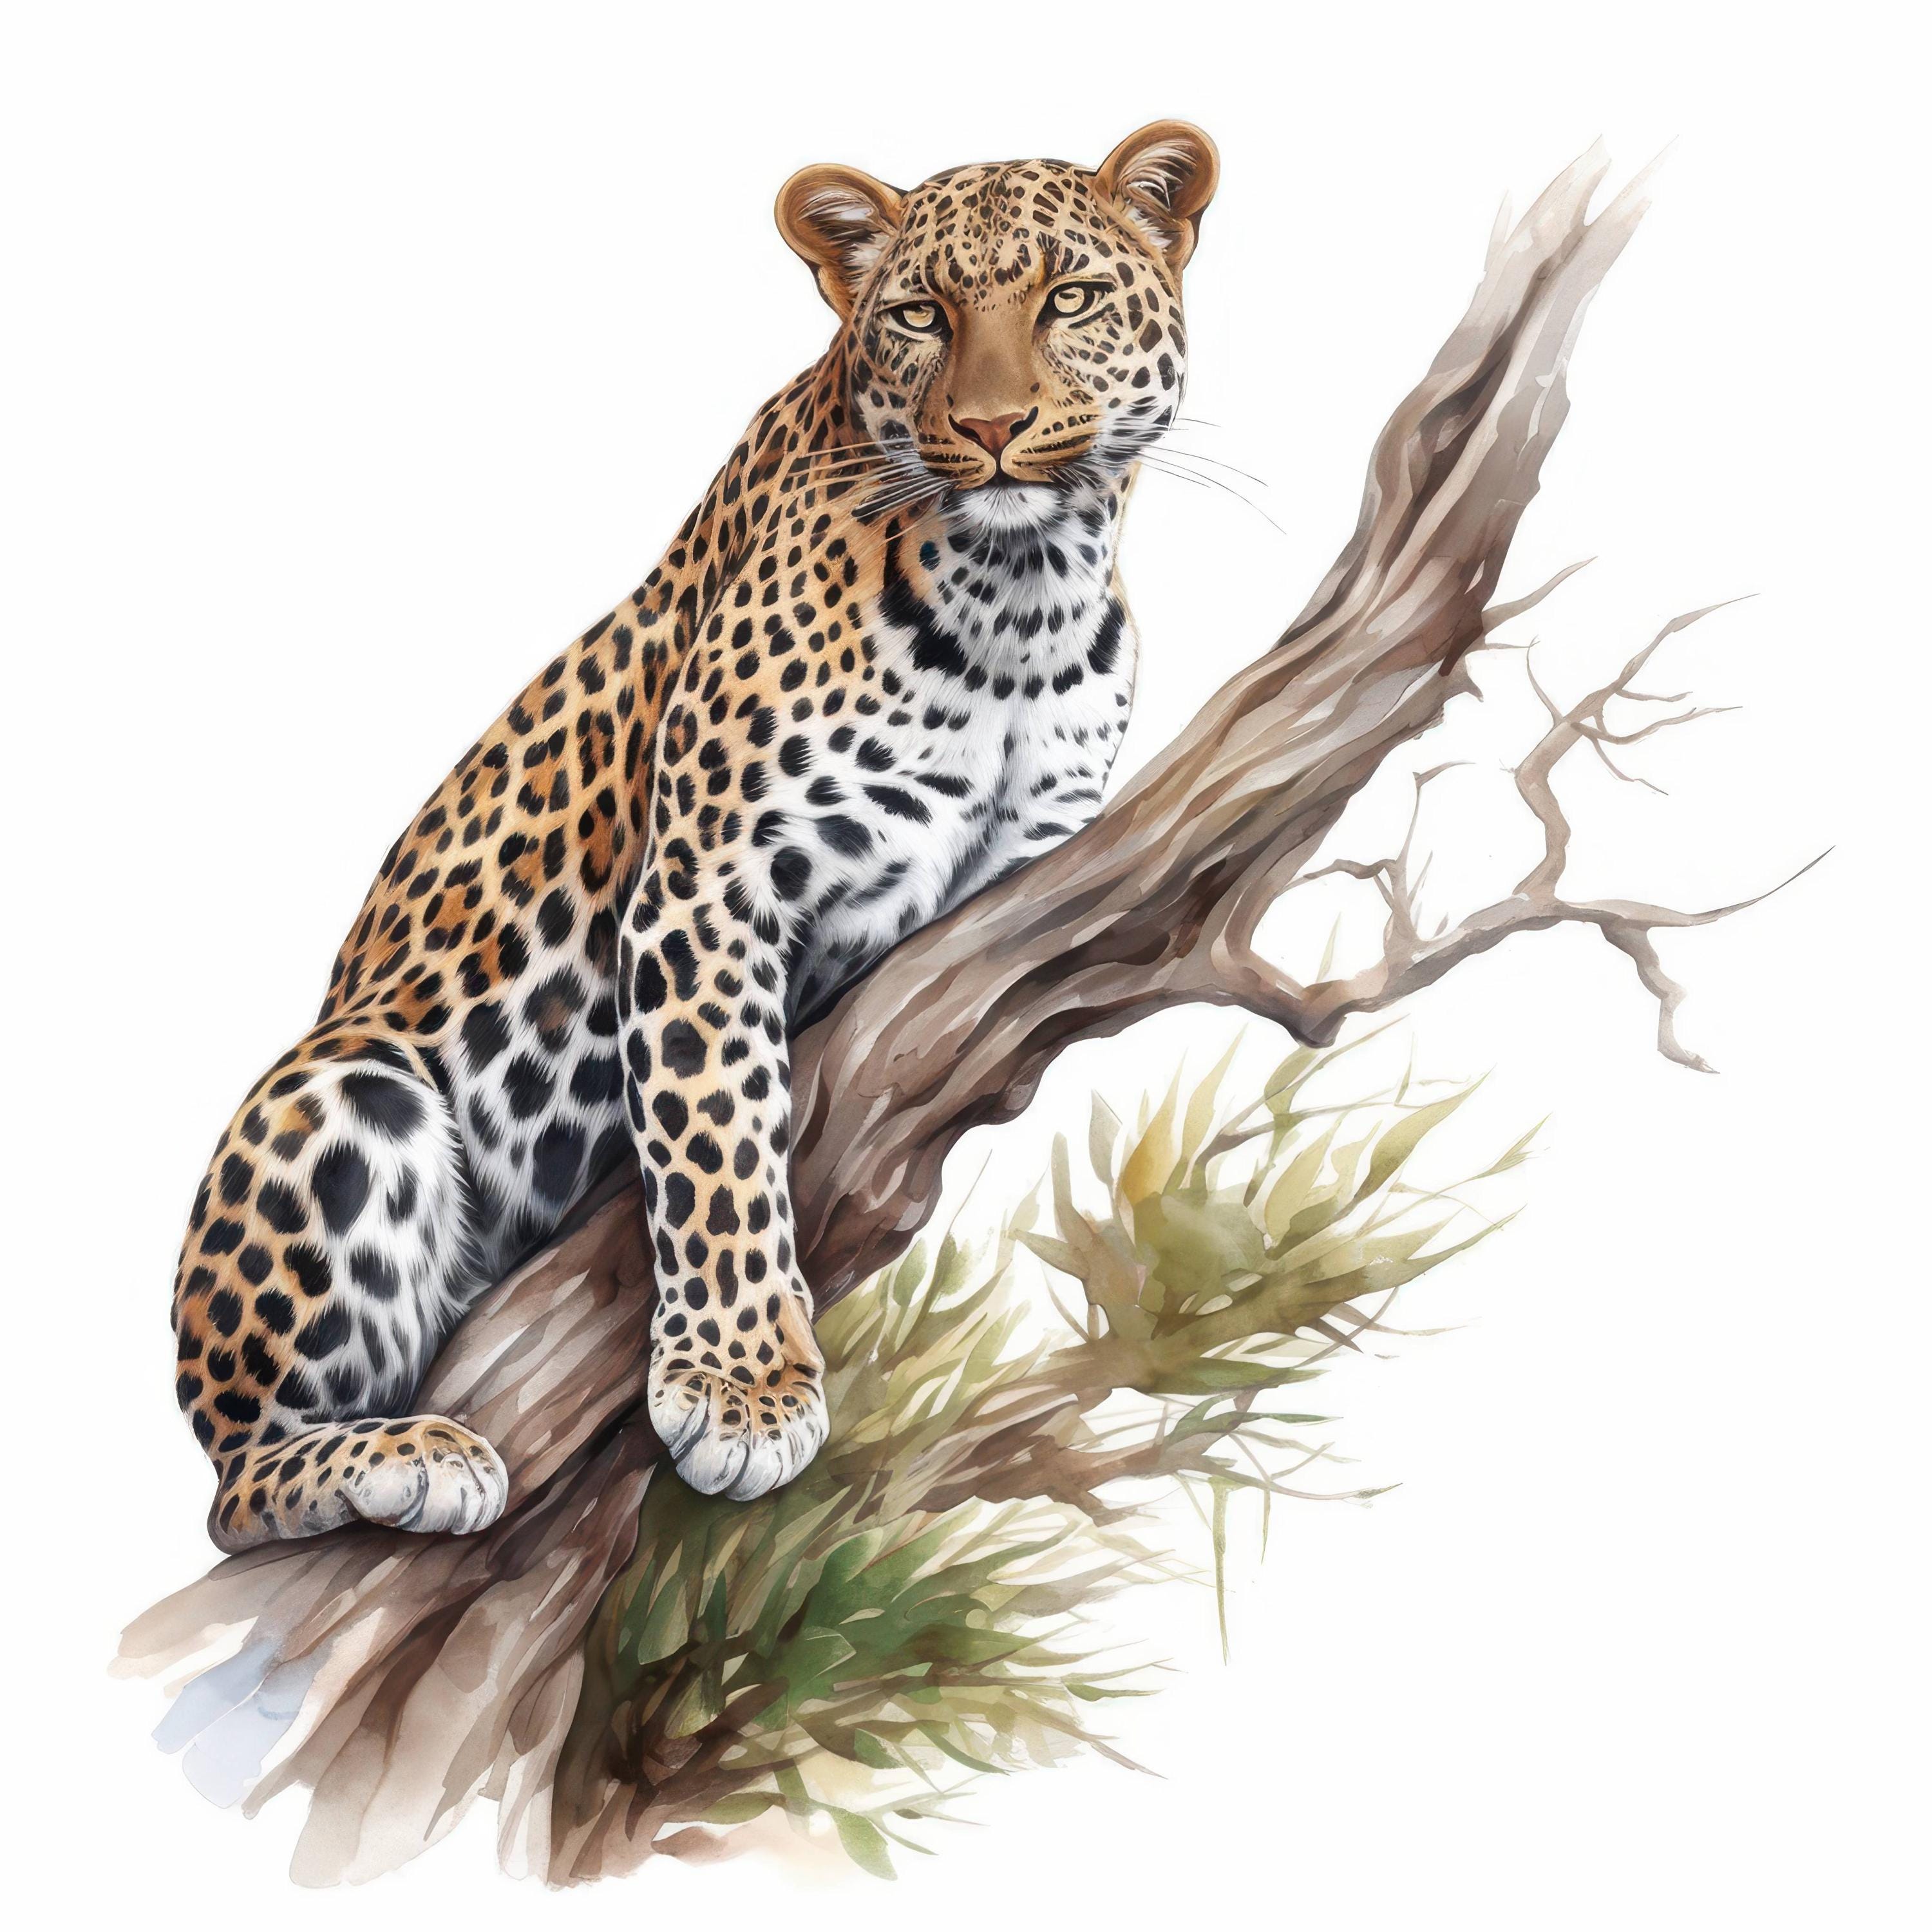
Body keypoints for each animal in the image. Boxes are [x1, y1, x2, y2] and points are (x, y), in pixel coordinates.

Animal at [169, 120, 1219, 1552]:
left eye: (1071, 299)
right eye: (918, 316)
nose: (992, 428)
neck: (1021, 602)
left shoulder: (1013, 890)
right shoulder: (705, 890)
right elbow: (717, 1138)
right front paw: (742, 1389)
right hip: (344, 1094)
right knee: (238, 1485)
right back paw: (404, 1454)